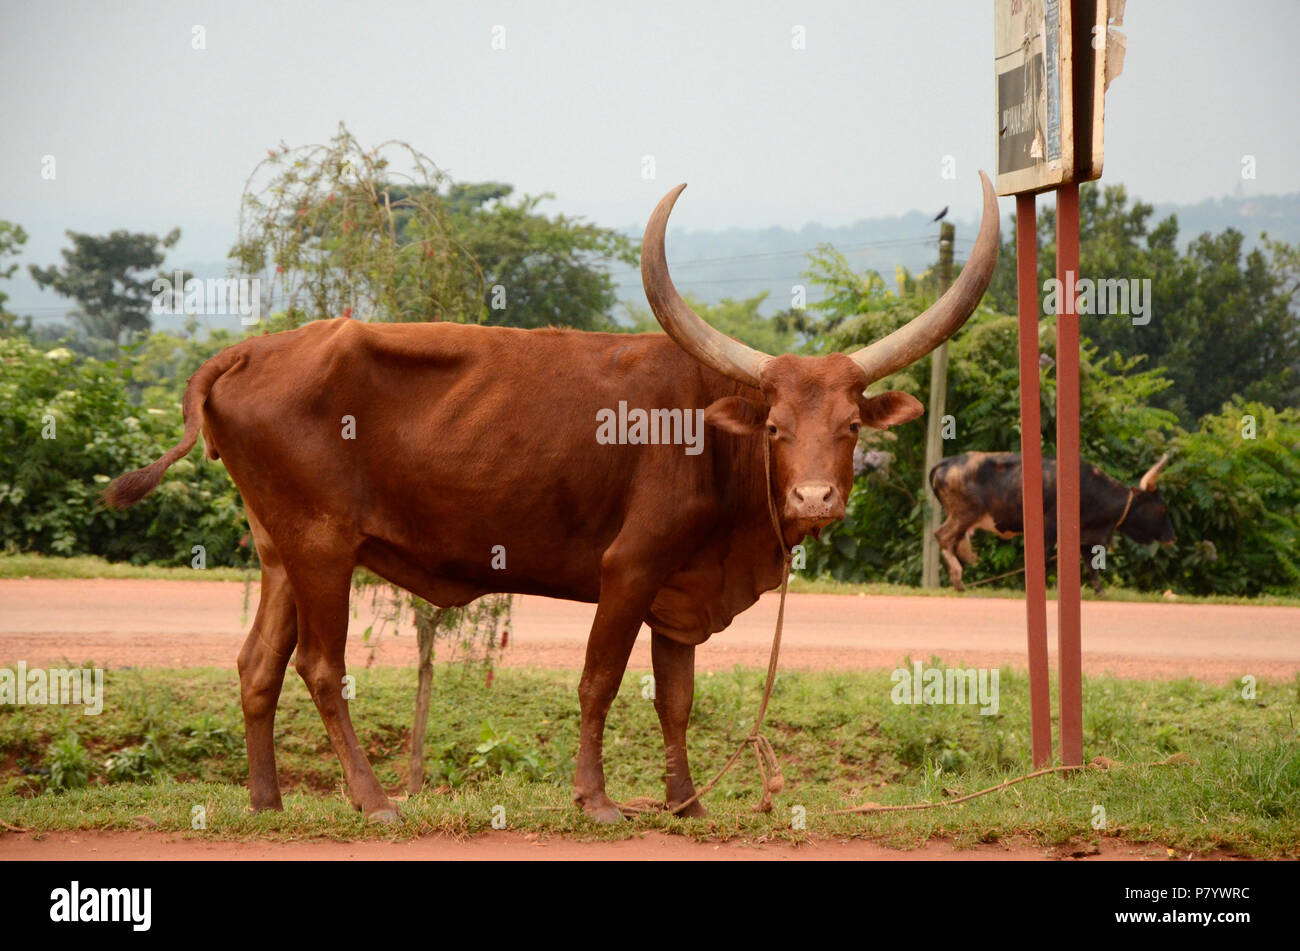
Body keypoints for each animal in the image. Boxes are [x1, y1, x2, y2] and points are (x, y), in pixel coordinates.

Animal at [103, 173, 999, 824]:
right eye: (775, 427)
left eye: (849, 425)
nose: (814, 497)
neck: (712, 433)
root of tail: (251, 350)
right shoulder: (629, 568)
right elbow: (599, 681)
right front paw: (598, 800)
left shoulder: (679, 591)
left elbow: (676, 699)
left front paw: (686, 802)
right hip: (324, 547)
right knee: (321, 668)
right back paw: (374, 799)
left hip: (280, 549)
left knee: (258, 663)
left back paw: (267, 801)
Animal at [929, 451, 1176, 593]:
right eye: (1162, 507)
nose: (1172, 538)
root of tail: (946, 462)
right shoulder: (1050, 527)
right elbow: (1046, 558)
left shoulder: (1084, 535)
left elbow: (1090, 564)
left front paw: (1100, 591)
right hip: (965, 512)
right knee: (943, 536)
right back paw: (958, 581)